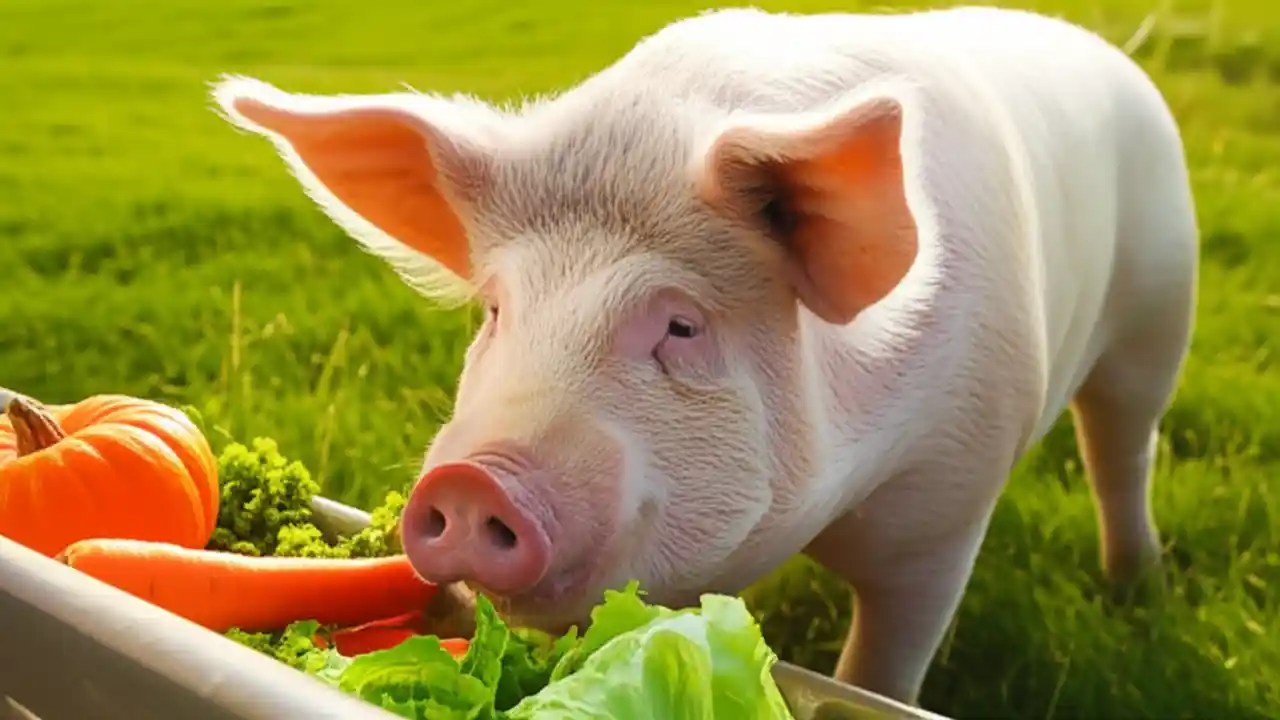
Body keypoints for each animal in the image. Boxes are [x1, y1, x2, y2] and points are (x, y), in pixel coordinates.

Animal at [213, 5, 1198, 707]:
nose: (469, 482)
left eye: (681, 327)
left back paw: (1138, 584)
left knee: (1122, 444)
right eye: (496, 310)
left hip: (1161, 305)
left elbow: (886, 660)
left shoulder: (948, 494)